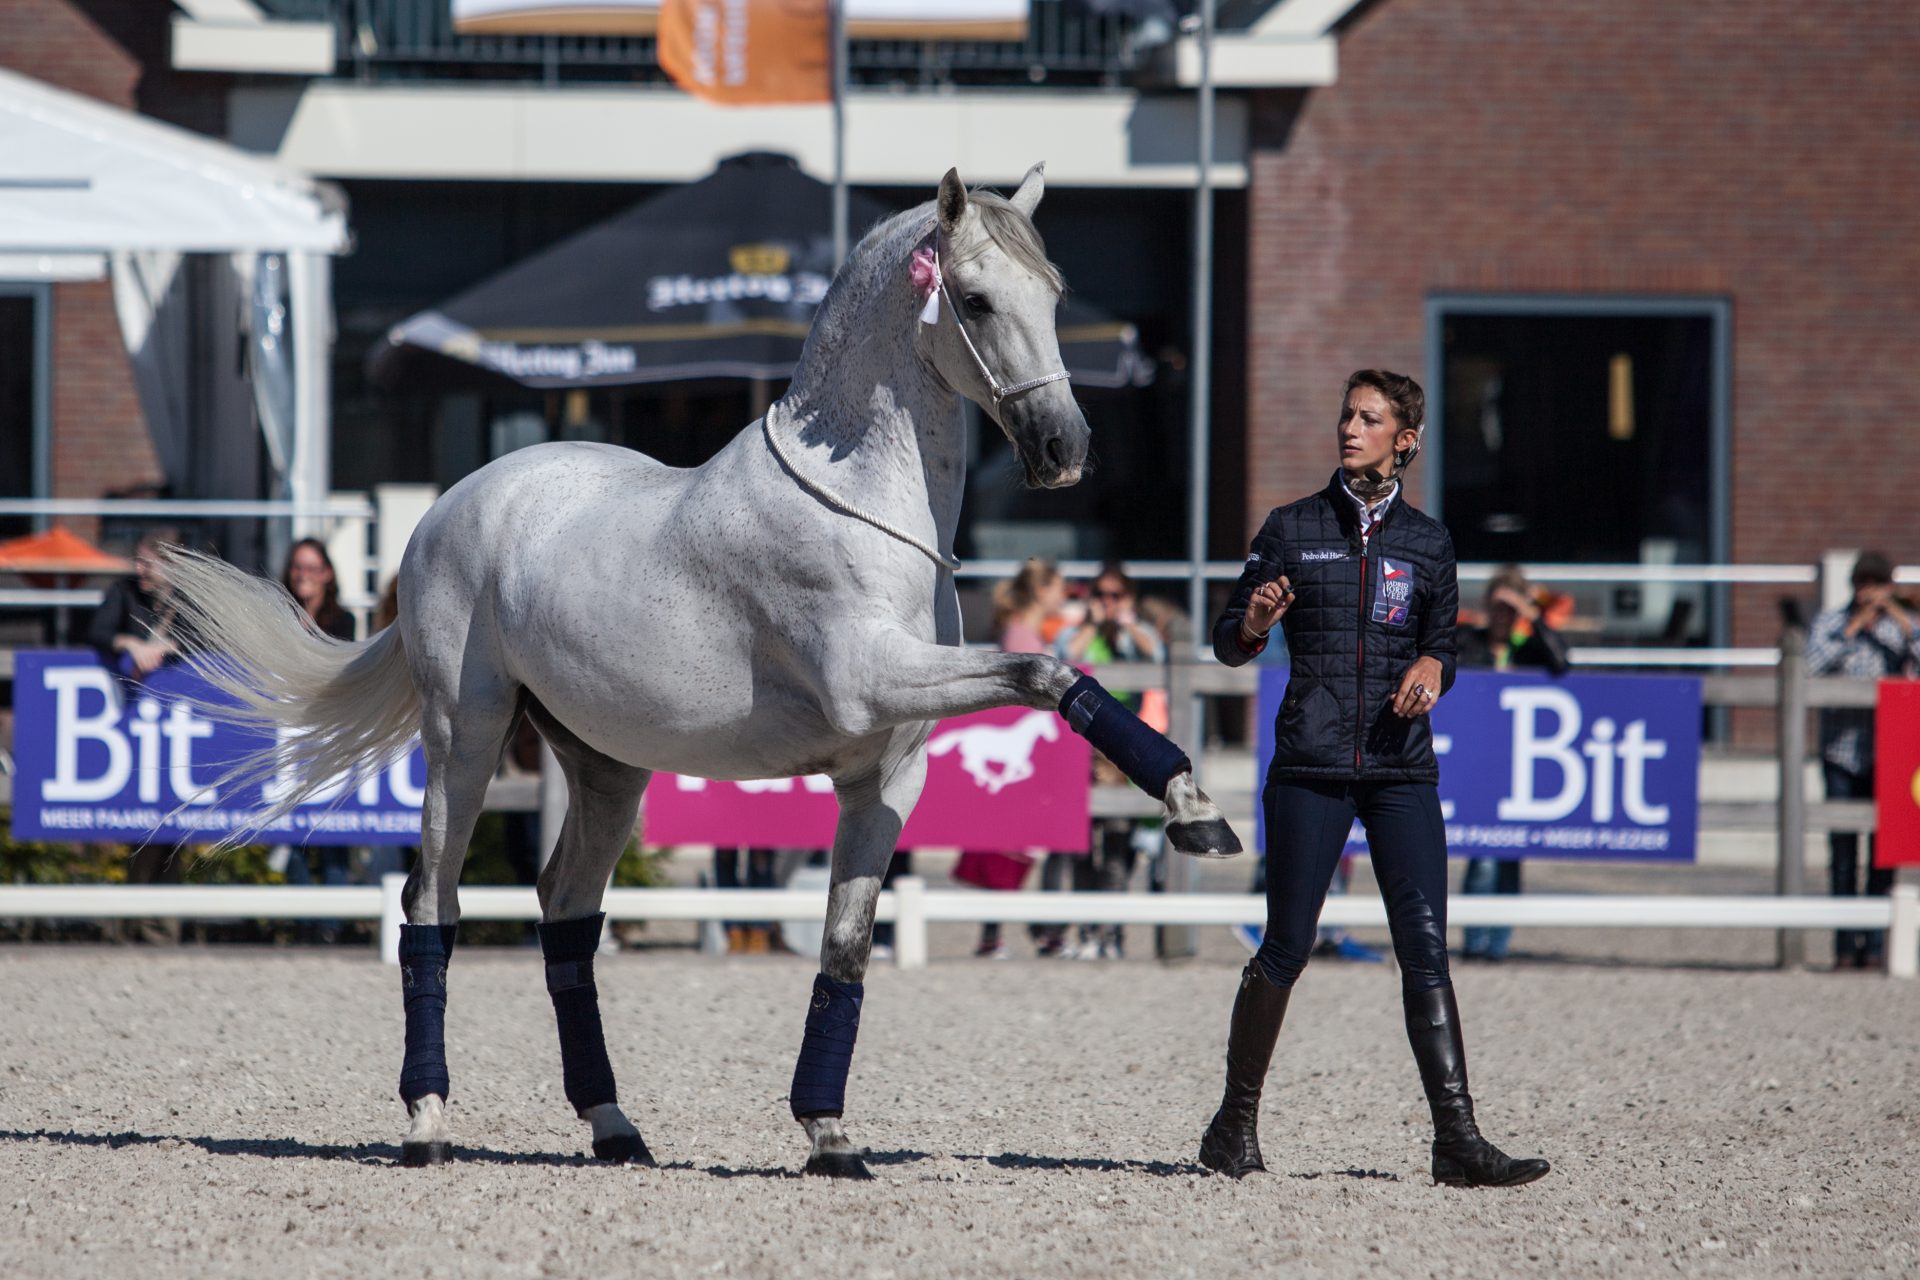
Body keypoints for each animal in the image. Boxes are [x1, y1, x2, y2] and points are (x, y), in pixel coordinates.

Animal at [161, 164, 1240, 1180]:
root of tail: (443, 512)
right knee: (433, 901)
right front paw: (1194, 807)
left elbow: (847, 946)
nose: (1065, 450)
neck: (856, 501)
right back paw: (427, 1122)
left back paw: (614, 1125)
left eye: (1052, 291)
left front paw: (829, 1135)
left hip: (605, 767)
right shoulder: (873, 681)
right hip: (464, 736)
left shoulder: (886, 773)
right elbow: (1046, 670)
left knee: (567, 911)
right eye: (974, 299)